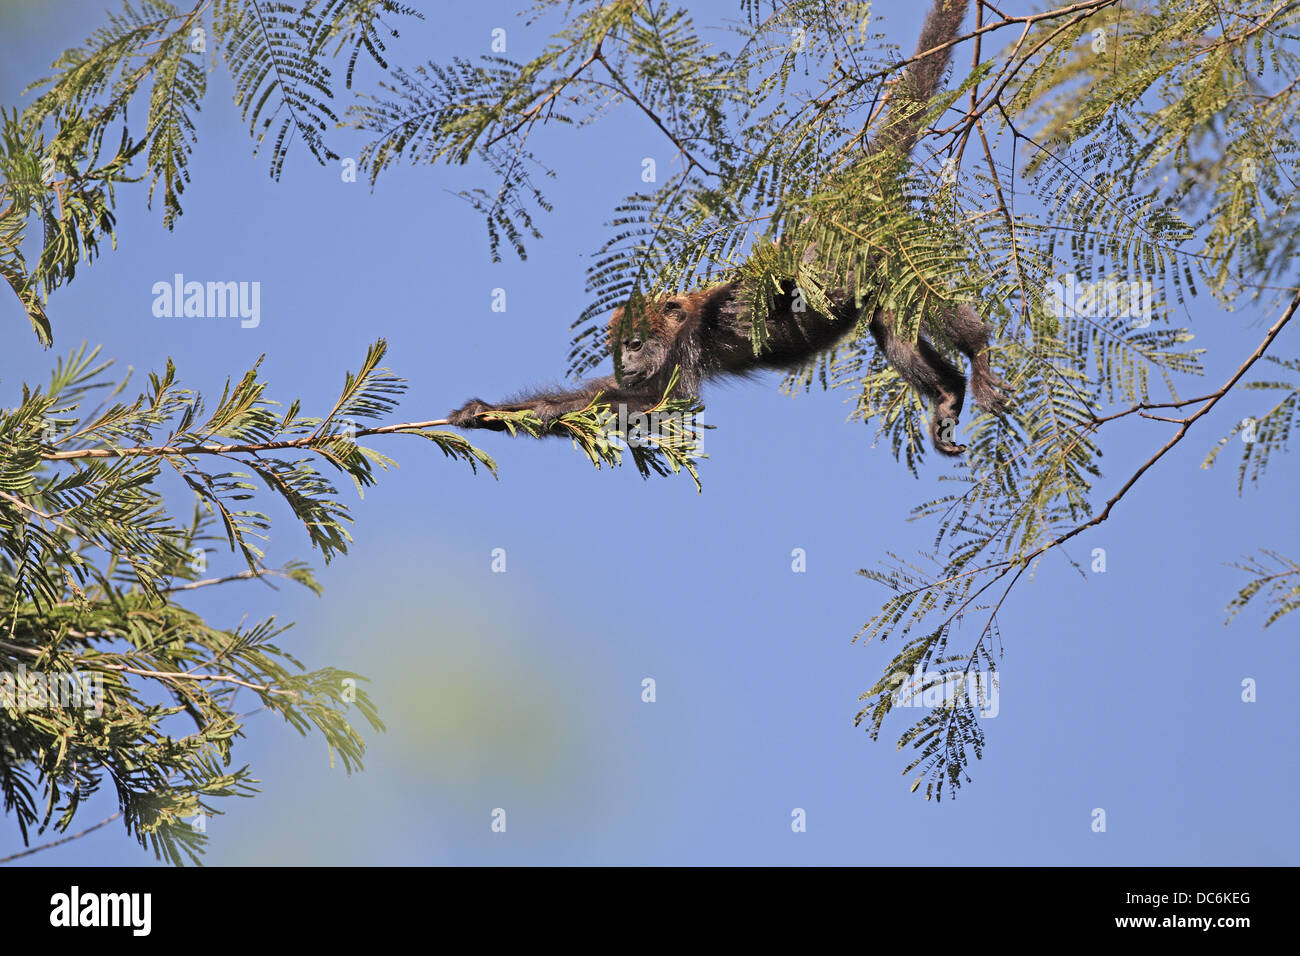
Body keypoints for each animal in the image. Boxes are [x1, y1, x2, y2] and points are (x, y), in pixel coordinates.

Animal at [448, 0, 1011, 456]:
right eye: (619, 348)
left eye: (636, 344)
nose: (626, 362)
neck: (680, 323)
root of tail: (844, 205)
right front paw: (486, 413)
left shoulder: (684, 348)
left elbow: (660, 402)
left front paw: (547, 410)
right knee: (893, 329)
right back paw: (949, 392)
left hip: (886, 243)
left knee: (926, 298)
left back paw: (979, 355)